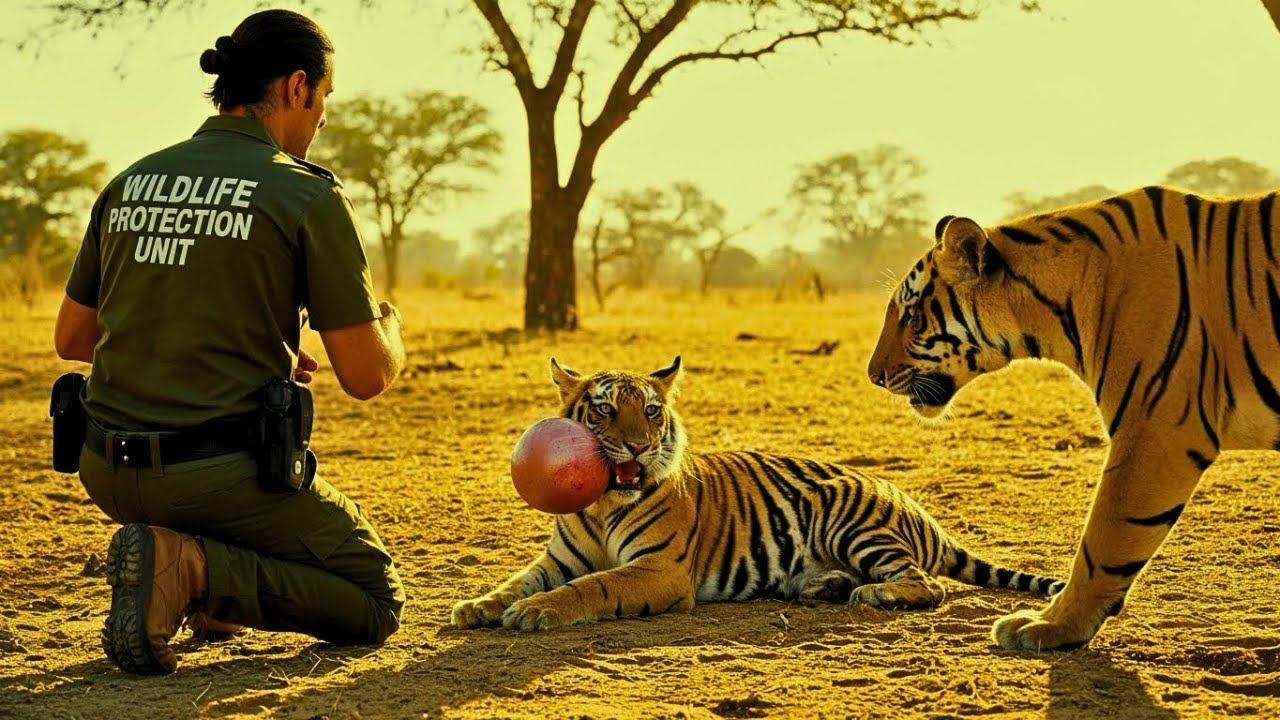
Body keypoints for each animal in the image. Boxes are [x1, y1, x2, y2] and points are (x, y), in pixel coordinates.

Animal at [451, 357, 1063, 632]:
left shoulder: (658, 571)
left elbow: (593, 586)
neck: (604, 506)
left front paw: (536, 612)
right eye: (603, 409)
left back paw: (873, 595)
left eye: (650, 410)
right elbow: (517, 580)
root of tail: (919, 508)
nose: (638, 446)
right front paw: (480, 605)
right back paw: (824, 587)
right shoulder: (557, 559)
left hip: (848, 517)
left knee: (925, 584)